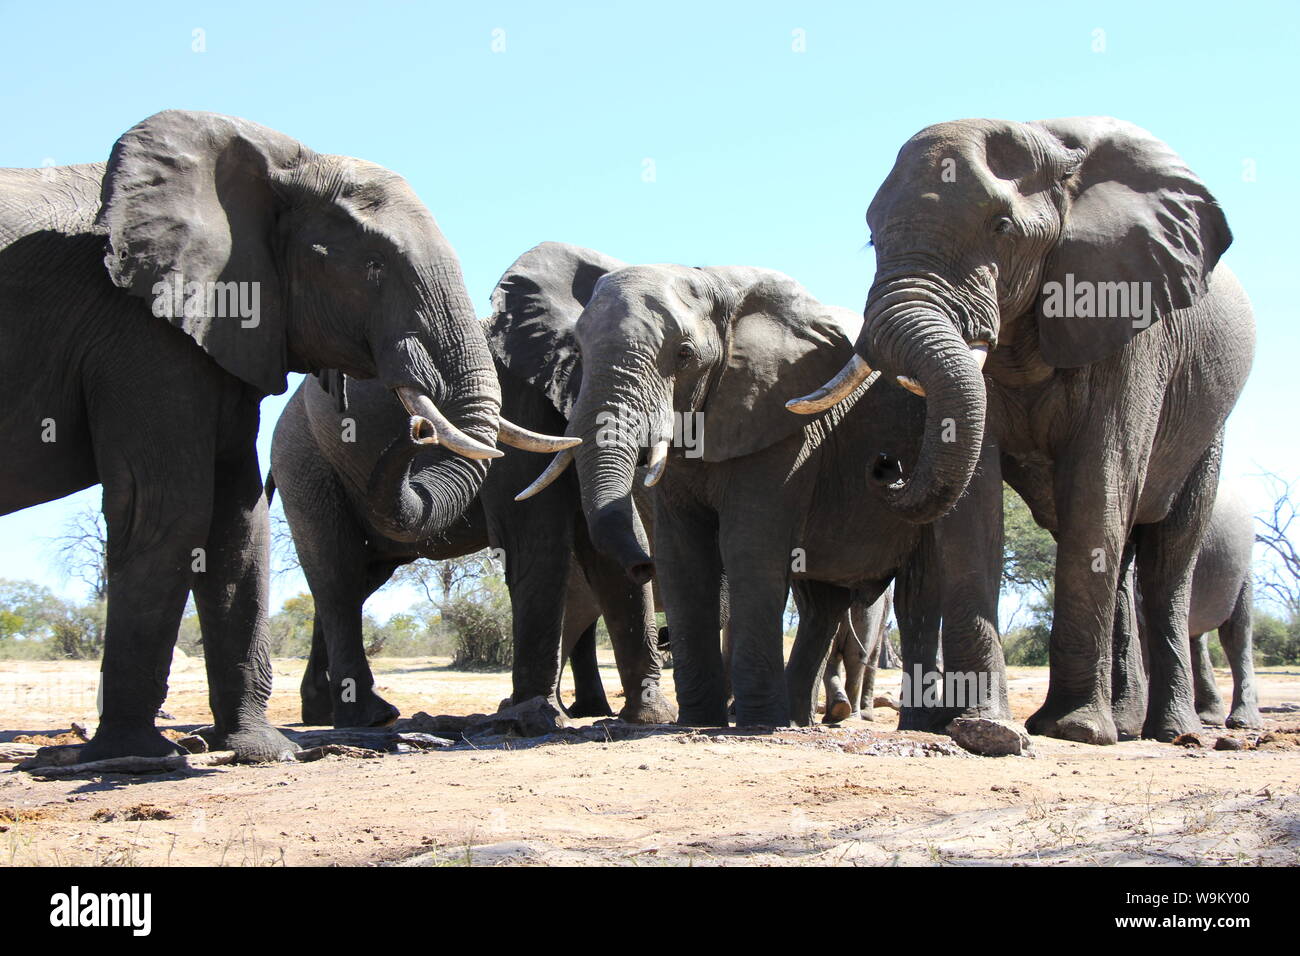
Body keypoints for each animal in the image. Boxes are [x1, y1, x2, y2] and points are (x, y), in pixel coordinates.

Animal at [0, 110, 559, 761]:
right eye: (373, 267)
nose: (416, 426)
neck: (279, 161)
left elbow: (236, 518)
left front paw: (260, 750)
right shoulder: (138, 327)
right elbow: (170, 506)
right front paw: (135, 755)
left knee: (350, 576)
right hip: (303, 460)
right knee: (338, 576)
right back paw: (362, 717)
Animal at [270, 242, 675, 727]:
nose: (420, 428)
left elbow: (606, 535)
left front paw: (649, 716)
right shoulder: (521, 398)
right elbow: (535, 537)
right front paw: (535, 716)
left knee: (356, 577)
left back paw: (321, 713)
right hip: (303, 460)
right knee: (338, 576)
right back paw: (370, 717)